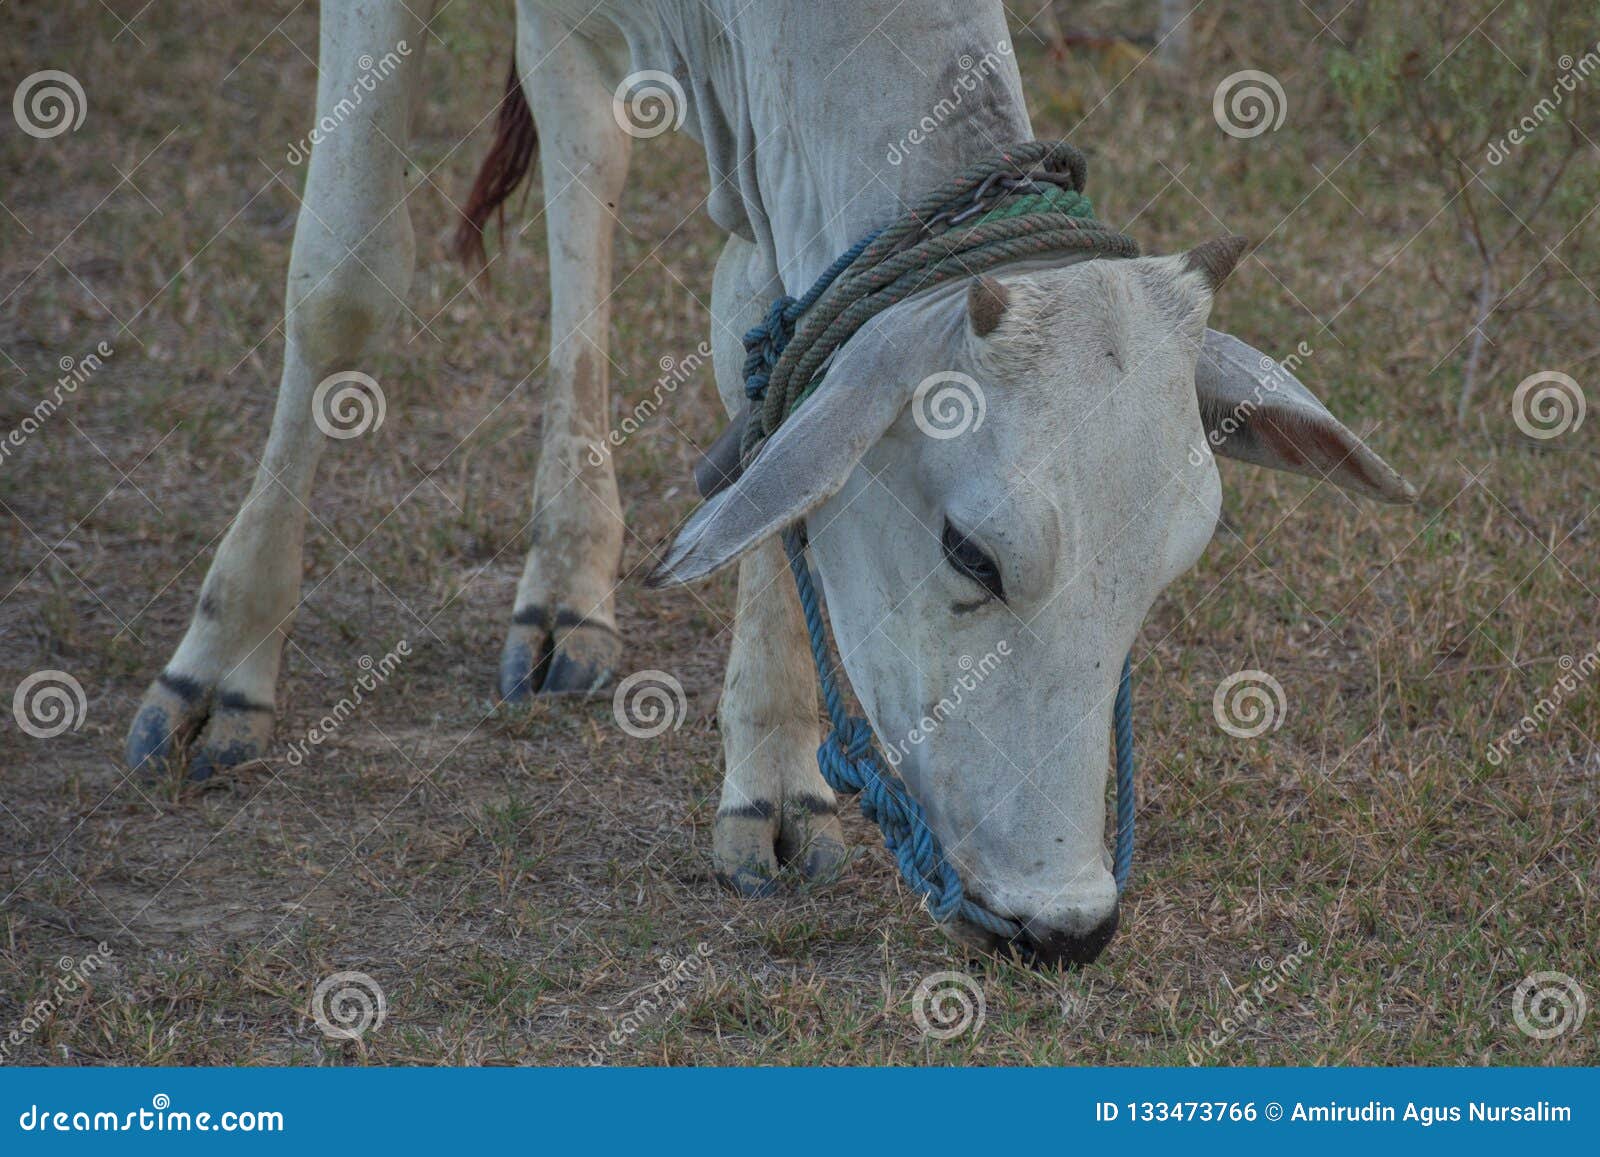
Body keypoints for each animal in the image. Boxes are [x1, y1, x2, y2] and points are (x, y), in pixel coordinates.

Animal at [124, 1, 1415, 966]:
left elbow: (765, 365)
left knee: (580, 127)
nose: (1068, 924)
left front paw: (774, 777)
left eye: (1165, 574)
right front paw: (223, 660)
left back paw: (566, 578)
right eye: (972, 552)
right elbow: (339, 280)